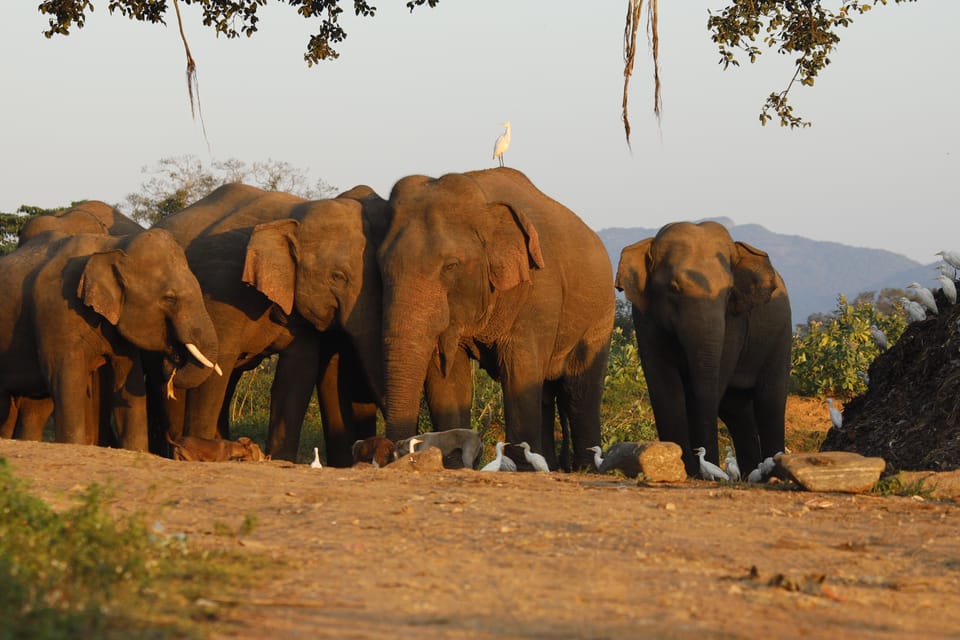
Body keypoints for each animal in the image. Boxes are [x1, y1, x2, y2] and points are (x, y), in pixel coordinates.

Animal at [0, 228, 220, 450]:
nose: (174, 357)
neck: (114, 245)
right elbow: (65, 378)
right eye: (170, 298)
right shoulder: (56, 312)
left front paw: (137, 450)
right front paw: (75, 444)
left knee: (35, 408)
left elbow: (128, 378)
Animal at [149, 183, 390, 465]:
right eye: (337, 276)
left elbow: (298, 372)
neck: (296, 215)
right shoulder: (221, 289)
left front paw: (280, 459)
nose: (175, 354)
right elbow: (215, 370)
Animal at [378, 167, 615, 470]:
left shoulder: (538, 290)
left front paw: (519, 468)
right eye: (381, 266)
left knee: (579, 390)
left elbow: (519, 372)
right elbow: (447, 378)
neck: (483, 205)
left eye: (451, 266)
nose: (397, 450)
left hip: (600, 315)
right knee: (547, 392)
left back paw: (583, 467)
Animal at [615, 221, 792, 477]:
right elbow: (664, 385)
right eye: (674, 288)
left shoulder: (735, 320)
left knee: (770, 401)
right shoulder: (645, 318)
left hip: (780, 334)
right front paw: (682, 469)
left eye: (728, 291)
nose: (701, 464)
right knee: (737, 410)